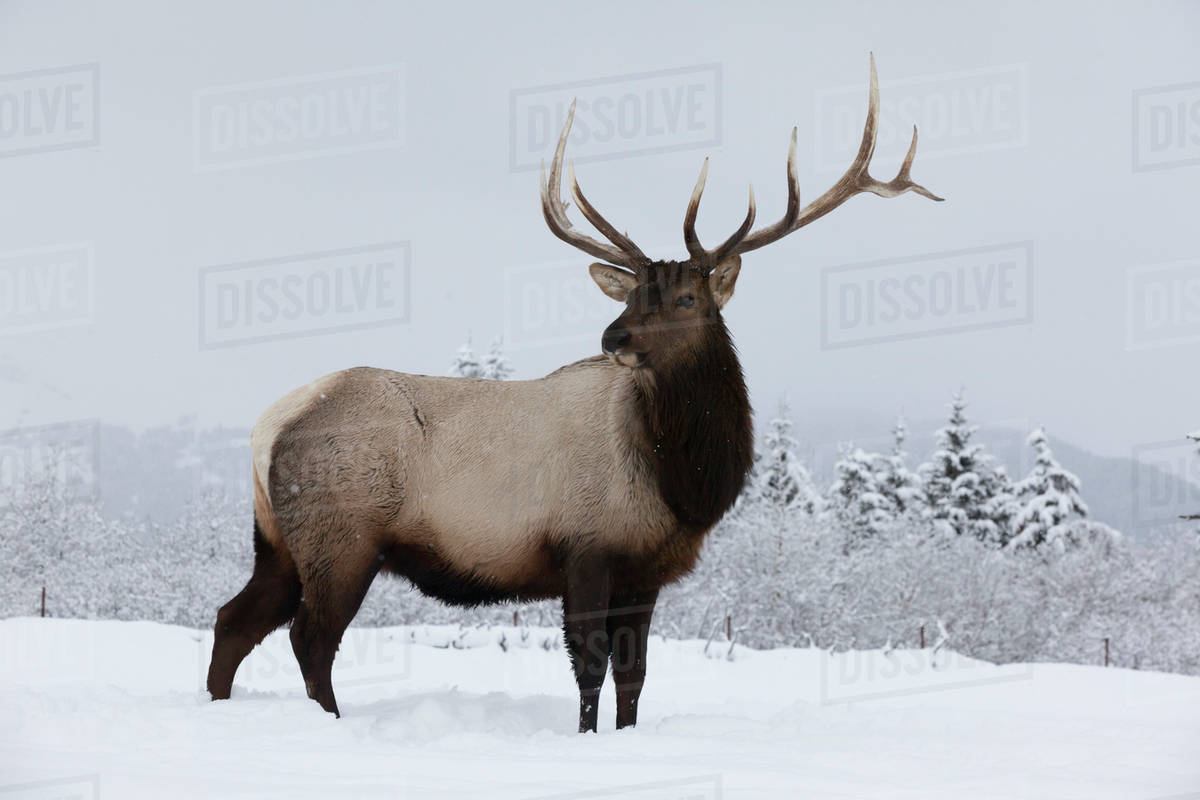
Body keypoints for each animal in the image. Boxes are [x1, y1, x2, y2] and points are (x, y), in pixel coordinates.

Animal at [206, 55, 942, 733]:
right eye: (634, 293)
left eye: (684, 297)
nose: (613, 335)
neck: (683, 483)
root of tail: (270, 426)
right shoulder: (586, 546)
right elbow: (589, 664)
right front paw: (586, 739)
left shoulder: (648, 568)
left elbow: (634, 674)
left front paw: (625, 734)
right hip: (343, 535)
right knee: (310, 637)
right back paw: (329, 722)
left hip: (279, 540)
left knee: (233, 618)